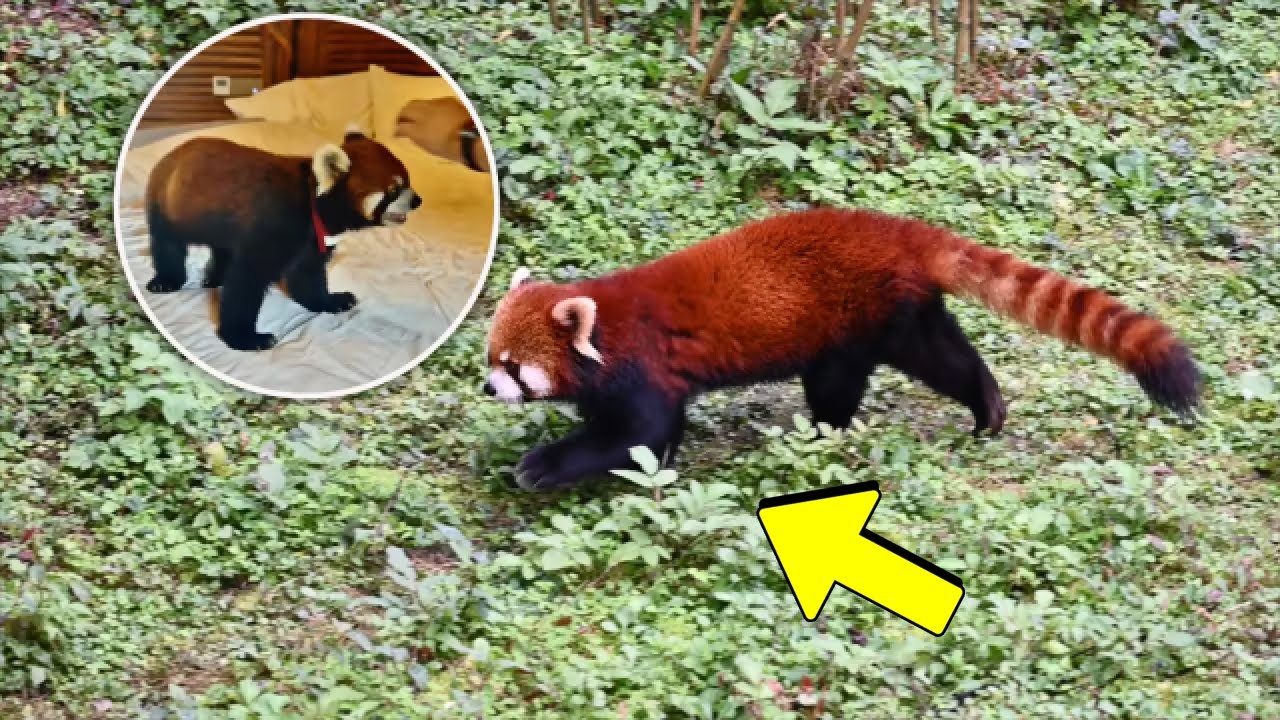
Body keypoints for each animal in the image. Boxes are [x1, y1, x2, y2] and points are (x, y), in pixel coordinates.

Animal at [142, 128, 422, 351]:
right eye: (393, 190)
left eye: (408, 181)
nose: (417, 201)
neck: (314, 204)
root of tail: (174, 152)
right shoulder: (276, 225)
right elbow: (246, 282)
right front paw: (244, 337)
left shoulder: (312, 241)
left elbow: (308, 276)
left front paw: (330, 301)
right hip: (166, 201)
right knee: (168, 244)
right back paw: (167, 280)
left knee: (222, 248)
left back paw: (216, 277)